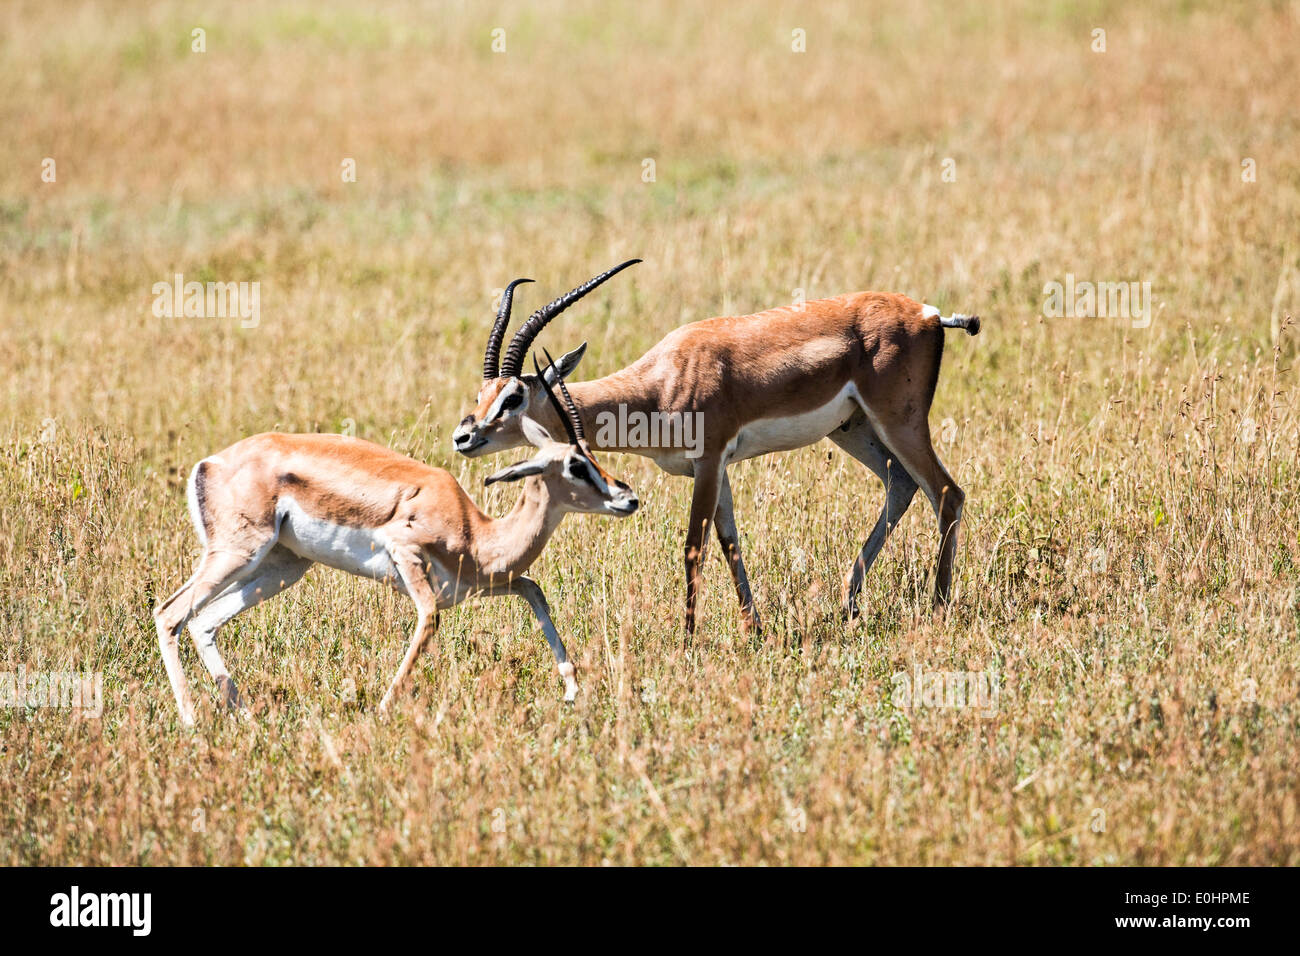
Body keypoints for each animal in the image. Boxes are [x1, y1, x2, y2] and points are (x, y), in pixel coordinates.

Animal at [153, 360, 637, 725]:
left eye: (592, 456)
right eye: (576, 465)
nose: (628, 497)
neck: (475, 532)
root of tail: (209, 463)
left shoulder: (479, 583)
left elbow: (533, 589)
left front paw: (572, 688)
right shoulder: (406, 554)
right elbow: (428, 619)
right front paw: (384, 710)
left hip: (280, 568)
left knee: (203, 622)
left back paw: (246, 716)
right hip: (237, 554)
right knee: (169, 613)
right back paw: (192, 720)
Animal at [453, 261, 980, 634]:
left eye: (513, 396)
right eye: (481, 394)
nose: (463, 437)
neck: (659, 383)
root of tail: (930, 314)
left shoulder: (707, 461)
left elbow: (693, 546)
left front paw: (687, 640)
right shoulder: (719, 468)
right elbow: (730, 543)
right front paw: (754, 630)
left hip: (898, 421)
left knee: (946, 493)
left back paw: (938, 607)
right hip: (853, 429)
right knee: (901, 484)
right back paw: (847, 605)